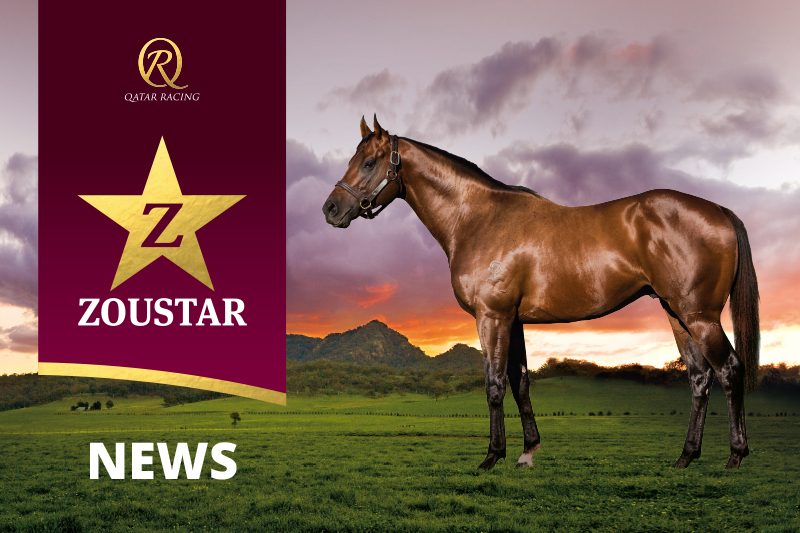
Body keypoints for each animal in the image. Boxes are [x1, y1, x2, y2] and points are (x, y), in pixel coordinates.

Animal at [322, 115, 760, 470]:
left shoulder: (492, 316)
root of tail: (719, 210)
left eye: (369, 162)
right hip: (677, 314)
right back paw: (686, 457)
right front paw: (527, 452)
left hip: (699, 316)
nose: (331, 209)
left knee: (728, 369)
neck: (478, 218)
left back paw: (735, 457)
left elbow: (494, 384)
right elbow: (520, 382)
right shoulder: (513, 320)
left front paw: (491, 456)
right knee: (699, 377)